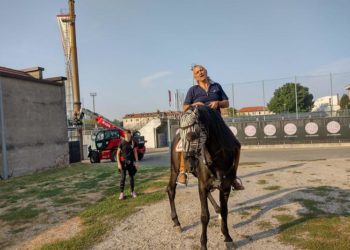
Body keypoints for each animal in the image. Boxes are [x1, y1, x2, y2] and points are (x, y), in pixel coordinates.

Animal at [167, 106, 241, 250]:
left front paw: (227, 237)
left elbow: (225, 211)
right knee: (171, 190)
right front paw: (203, 244)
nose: (189, 165)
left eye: (192, 135)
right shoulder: (202, 186)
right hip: (175, 169)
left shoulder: (225, 187)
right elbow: (204, 216)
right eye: (182, 135)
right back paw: (177, 222)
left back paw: (217, 210)